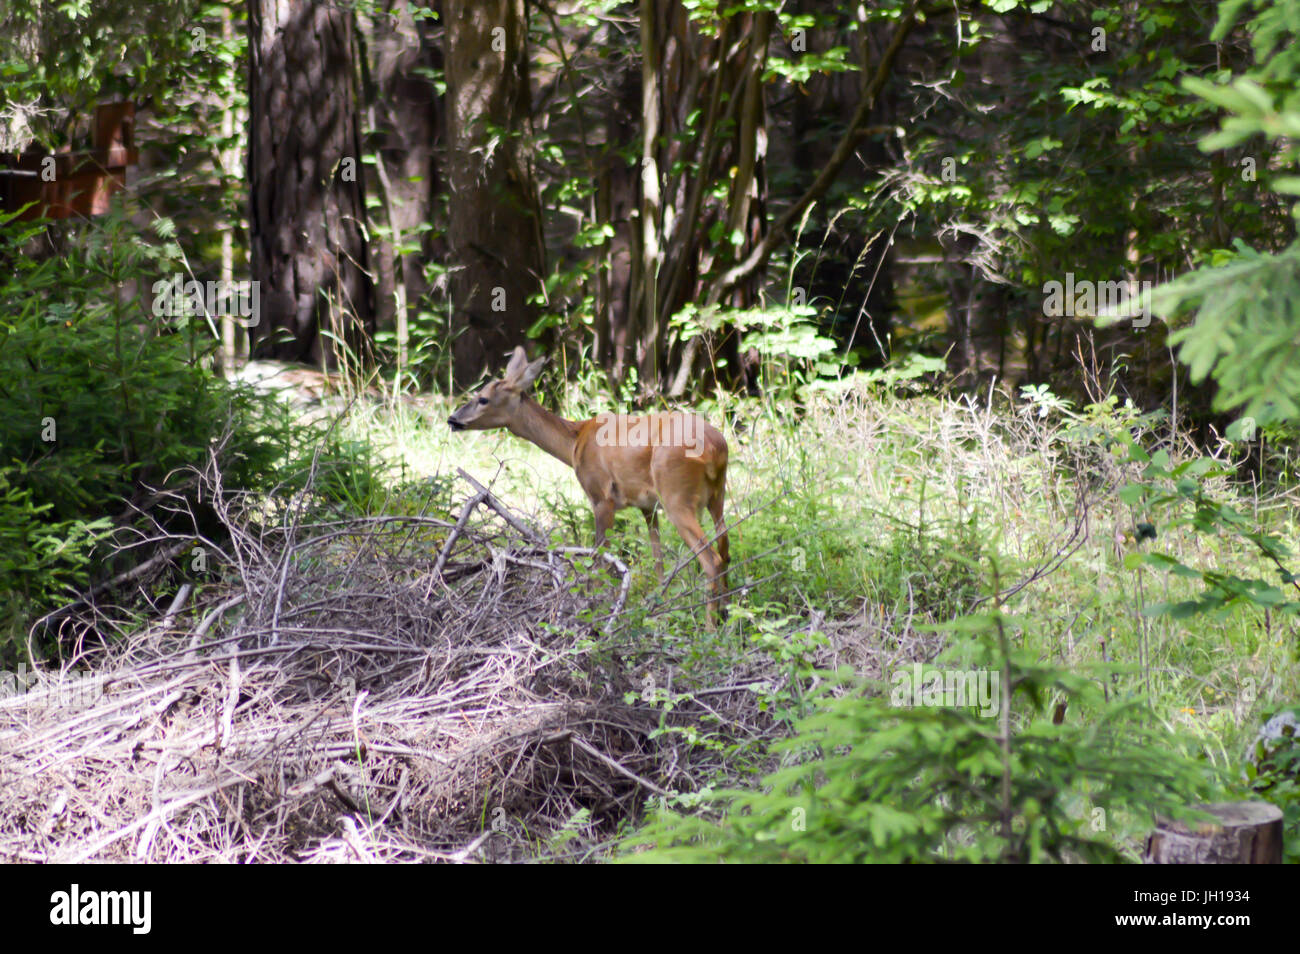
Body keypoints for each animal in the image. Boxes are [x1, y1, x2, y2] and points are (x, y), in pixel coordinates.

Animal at [448, 347, 731, 626]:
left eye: (483, 399)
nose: (453, 419)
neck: (574, 442)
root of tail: (715, 448)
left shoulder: (601, 496)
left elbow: (599, 559)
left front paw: (594, 610)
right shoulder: (647, 506)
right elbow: (657, 557)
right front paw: (659, 609)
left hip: (676, 495)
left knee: (712, 559)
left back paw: (711, 626)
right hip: (717, 495)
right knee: (725, 548)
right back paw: (727, 614)